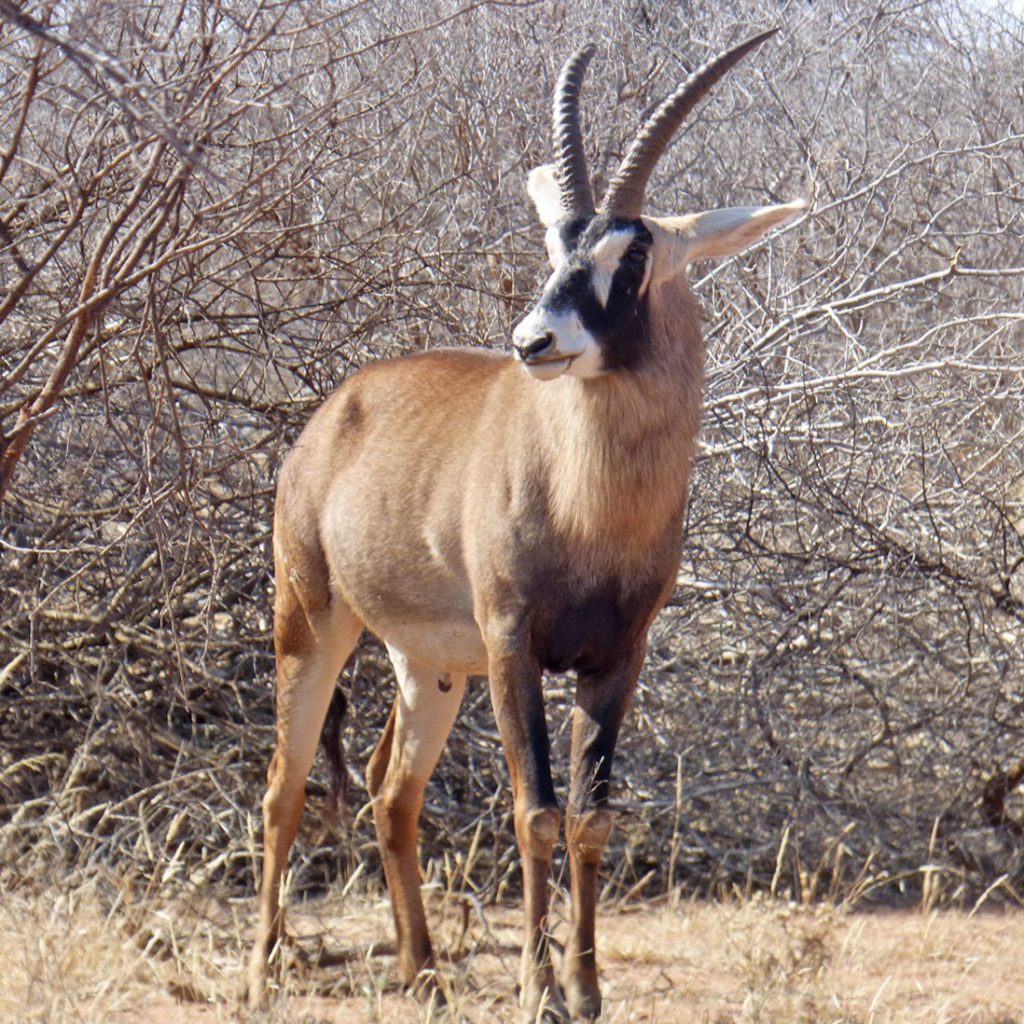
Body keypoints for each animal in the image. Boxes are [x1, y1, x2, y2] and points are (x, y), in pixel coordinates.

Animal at [248, 30, 803, 1022]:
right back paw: (265, 971)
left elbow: (591, 816)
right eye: (557, 240)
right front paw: (539, 989)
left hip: (429, 668)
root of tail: (336, 410)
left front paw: (585, 987)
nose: (534, 342)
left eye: (634, 253)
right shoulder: (514, 645)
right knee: (283, 786)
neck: (591, 511)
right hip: (312, 624)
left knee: (390, 792)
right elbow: (535, 810)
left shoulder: (617, 657)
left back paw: (422, 972)